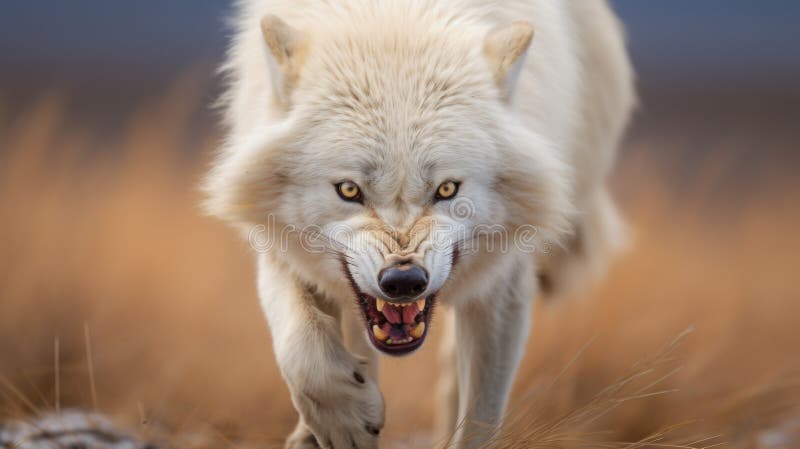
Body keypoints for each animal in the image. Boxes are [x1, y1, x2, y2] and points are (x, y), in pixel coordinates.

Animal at [204, 1, 634, 448]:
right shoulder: (277, 242)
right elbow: (302, 350)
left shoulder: (506, 279)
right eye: (349, 190)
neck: (395, 18)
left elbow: (479, 419)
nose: (404, 281)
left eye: (446, 189)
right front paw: (346, 420)